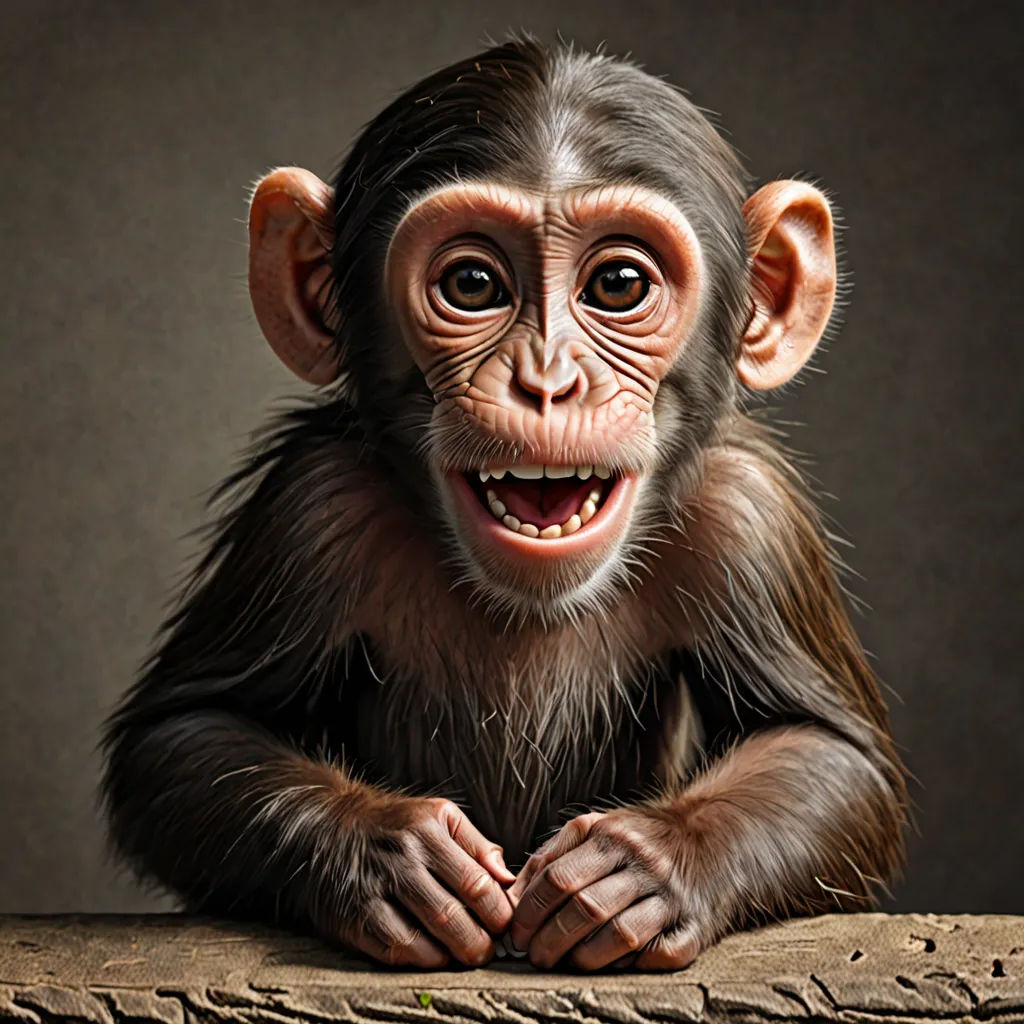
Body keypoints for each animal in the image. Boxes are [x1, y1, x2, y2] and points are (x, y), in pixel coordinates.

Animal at [101, 38, 907, 972]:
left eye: (619, 283)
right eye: (473, 283)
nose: (547, 380)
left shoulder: (753, 521)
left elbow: (833, 752)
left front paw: (643, 867)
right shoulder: (311, 510)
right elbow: (186, 733)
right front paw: (391, 854)